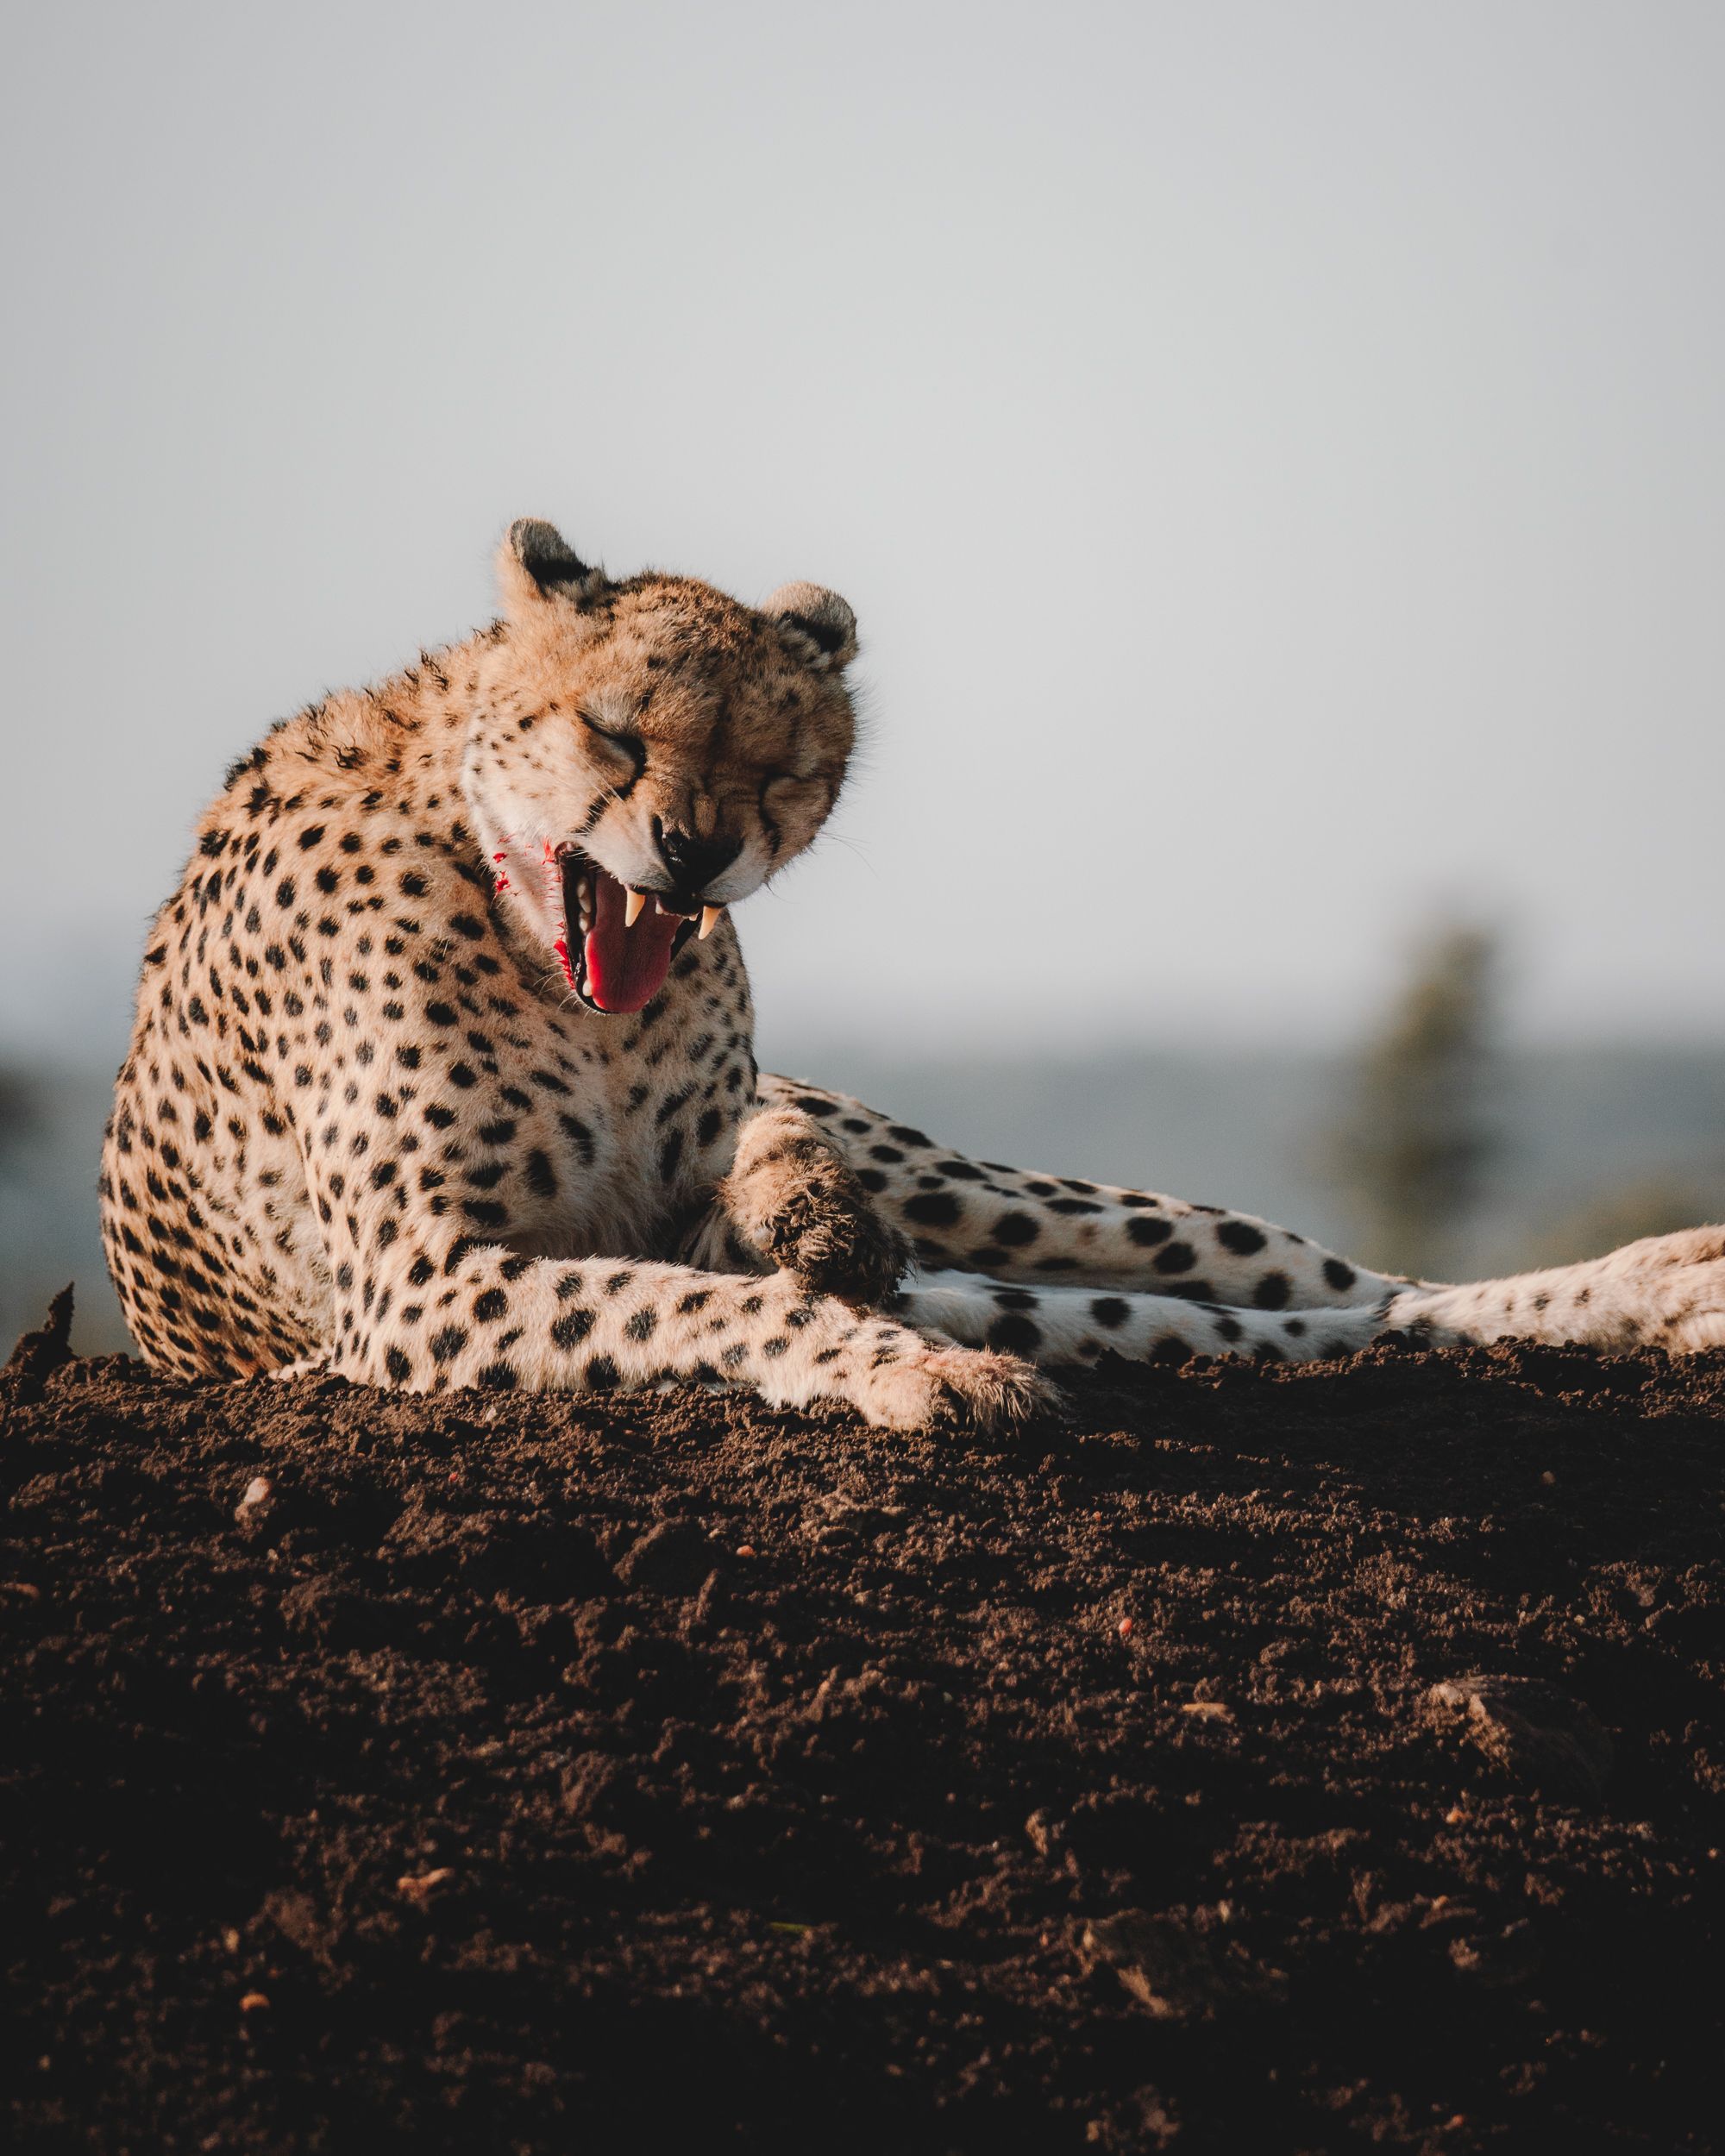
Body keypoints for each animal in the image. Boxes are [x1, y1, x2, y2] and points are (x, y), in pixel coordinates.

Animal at [98, 519, 1725, 1432]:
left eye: (780, 765)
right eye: (616, 733)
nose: (693, 851)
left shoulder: (599, 1230)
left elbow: (726, 1249)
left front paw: (815, 1237)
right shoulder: (421, 1279)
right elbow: (694, 1305)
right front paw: (907, 1369)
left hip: (970, 1192)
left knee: (1351, 1292)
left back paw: (1645, 1289)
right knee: (1295, 1326)